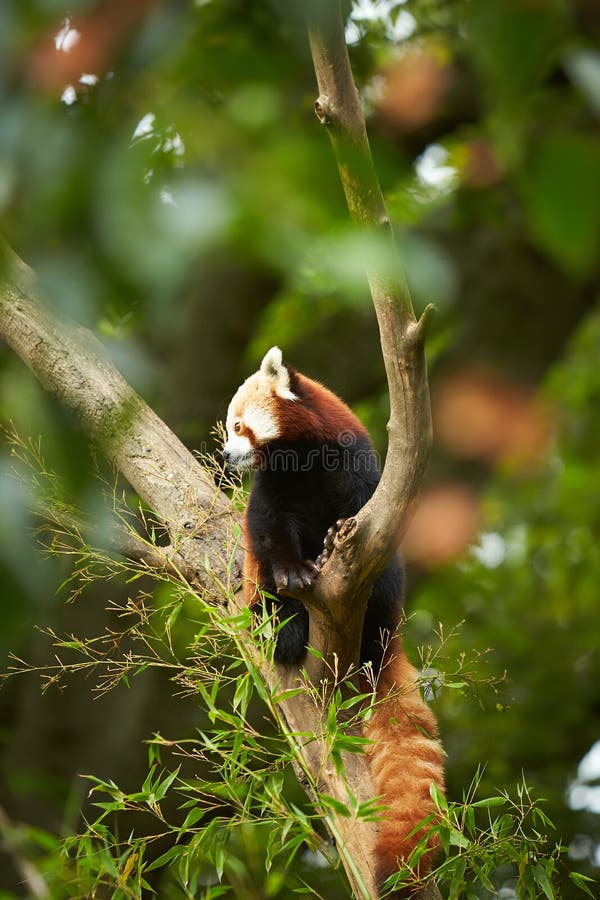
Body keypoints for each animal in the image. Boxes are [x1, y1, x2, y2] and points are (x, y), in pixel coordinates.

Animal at [224, 347, 444, 890]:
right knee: (270, 607)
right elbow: (269, 532)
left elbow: (362, 518)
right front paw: (294, 571)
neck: (301, 460)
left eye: (238, 426)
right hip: (260, 601)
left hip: (386, 601)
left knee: (386, 577)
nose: (225, 454)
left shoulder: (355, 470)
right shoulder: (273, 497)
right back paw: (287, 629)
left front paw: (329, 545)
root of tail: (382, 642)